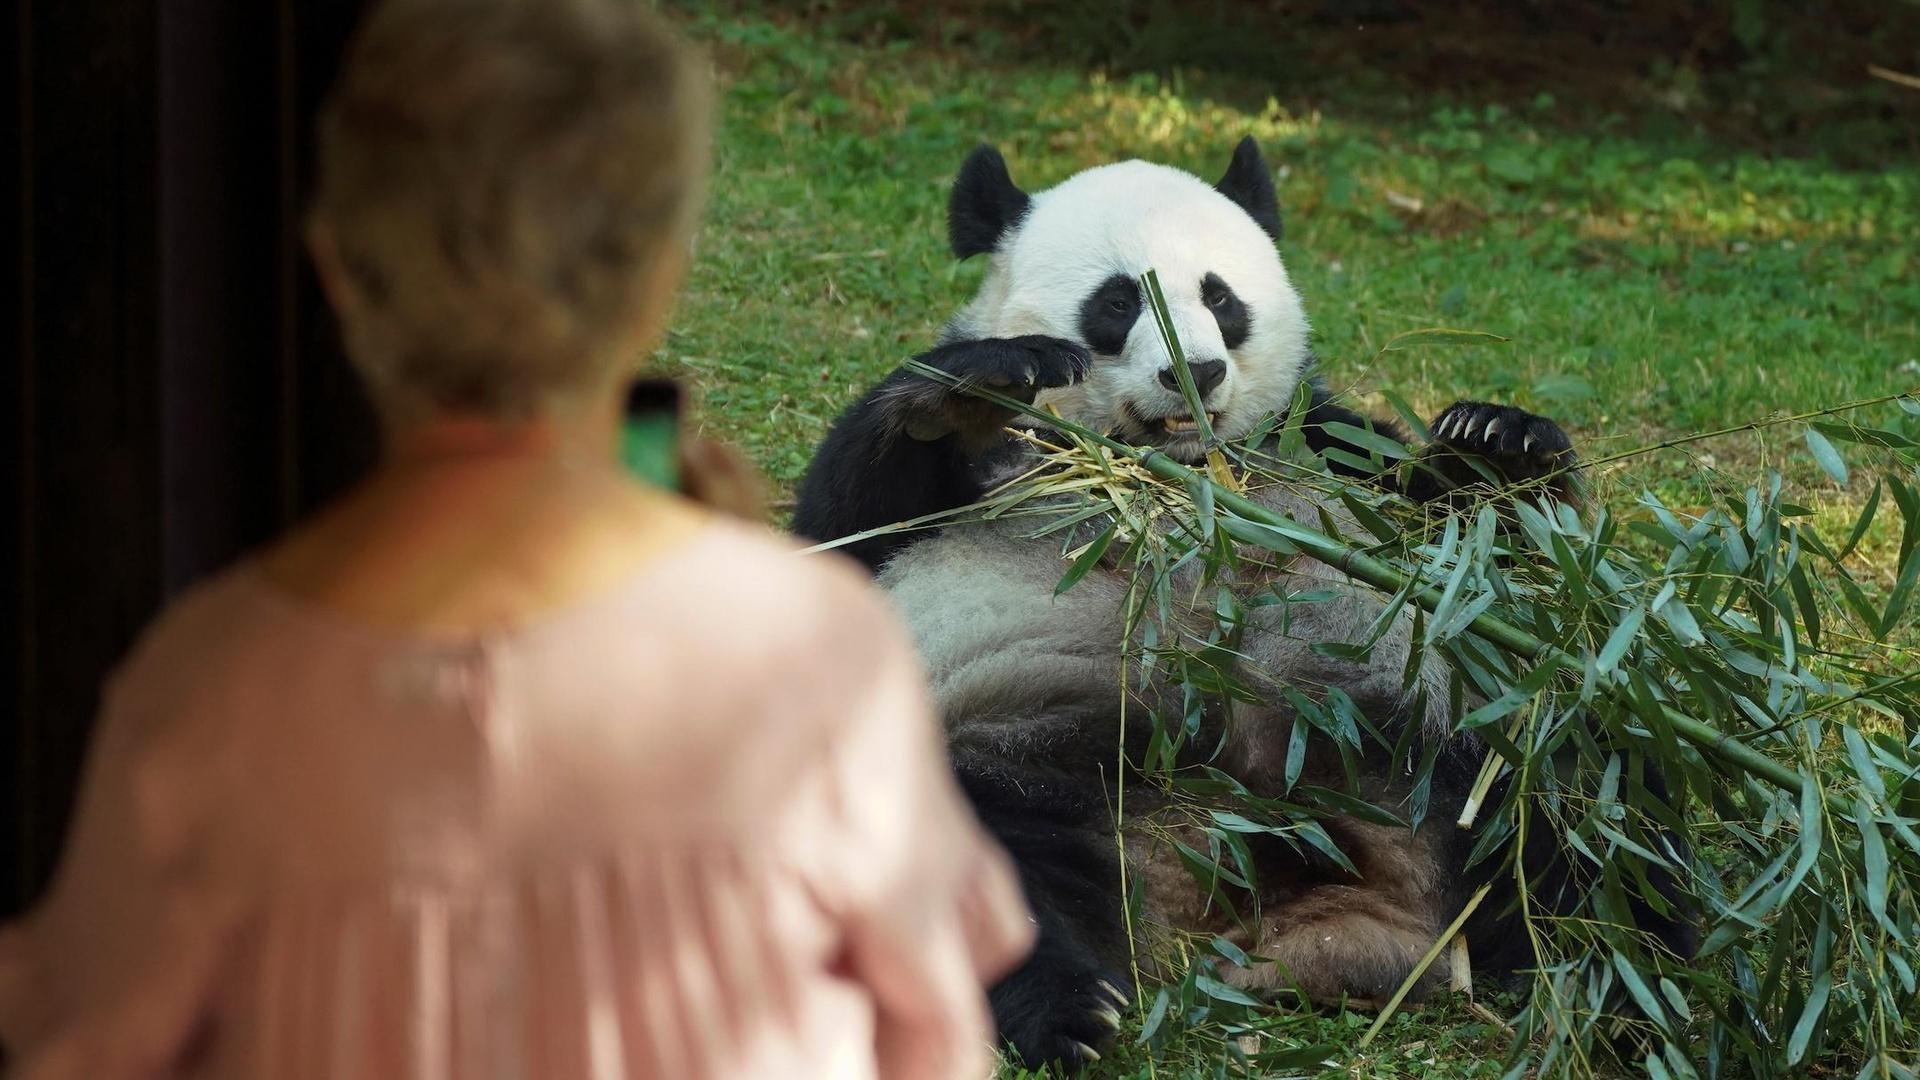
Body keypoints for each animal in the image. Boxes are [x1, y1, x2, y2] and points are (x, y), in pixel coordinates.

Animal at [793, 138, 1695, 1068]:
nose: (1196, 371)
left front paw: (1500, 442)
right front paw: (975, 388)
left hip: (1461, 743)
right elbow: (842, 532)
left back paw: (1635, 994)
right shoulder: (983, 484)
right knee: (965, 873)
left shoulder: (1325, 448)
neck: (1188, 474)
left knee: (1586, 797)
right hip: (1020, 759)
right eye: (1117, 301)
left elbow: (1477, 542)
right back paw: (1073, 1010)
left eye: (1219, 298)